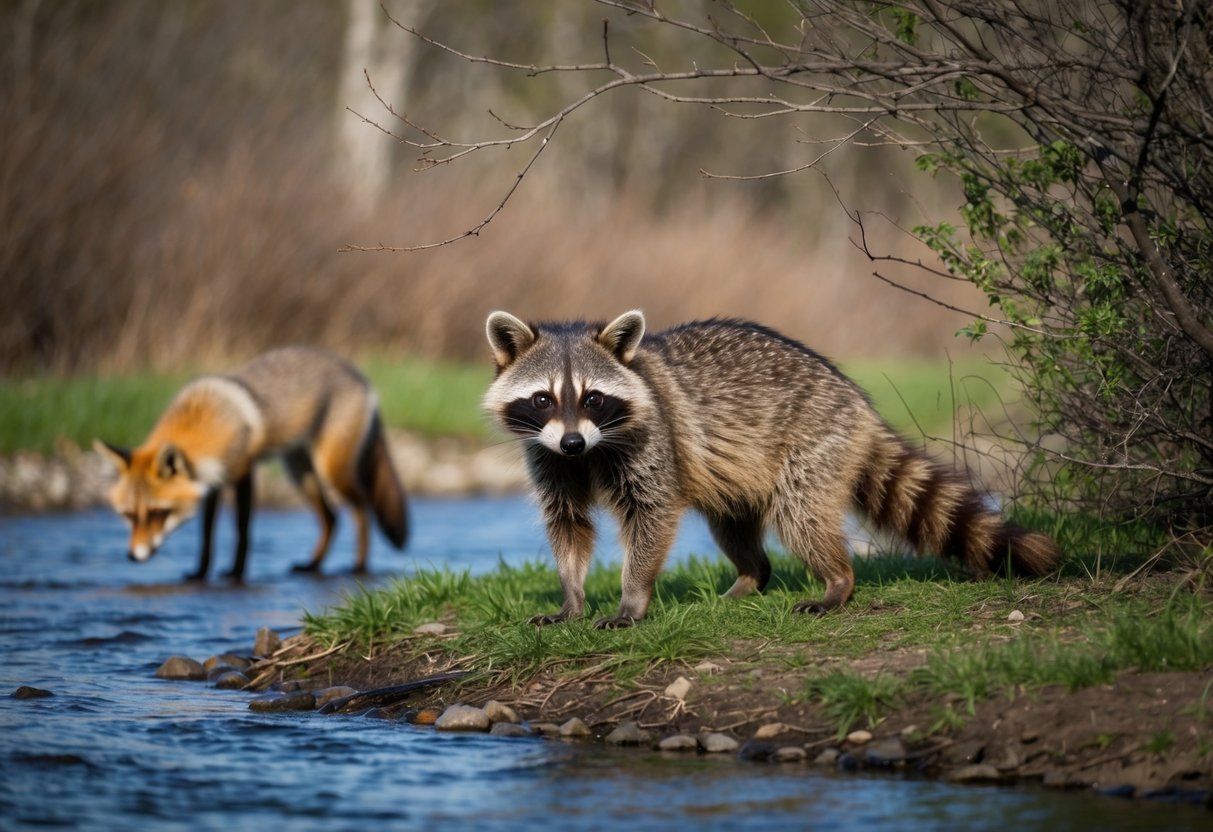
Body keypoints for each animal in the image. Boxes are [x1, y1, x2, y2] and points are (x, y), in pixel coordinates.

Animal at [483, 310, 1060, 629]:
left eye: (594, 398)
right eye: (543, 398)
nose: (574, 441)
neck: (589, 449)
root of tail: (856, 401)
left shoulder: (653, 443)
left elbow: (651, 517)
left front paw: (633, 598)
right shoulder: (550, 457)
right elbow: (568, 524)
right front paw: (572, 596)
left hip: (814, 439)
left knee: (800, 514)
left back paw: (837, 580)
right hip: (741, 473)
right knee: (733, 524)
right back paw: (751, 575)